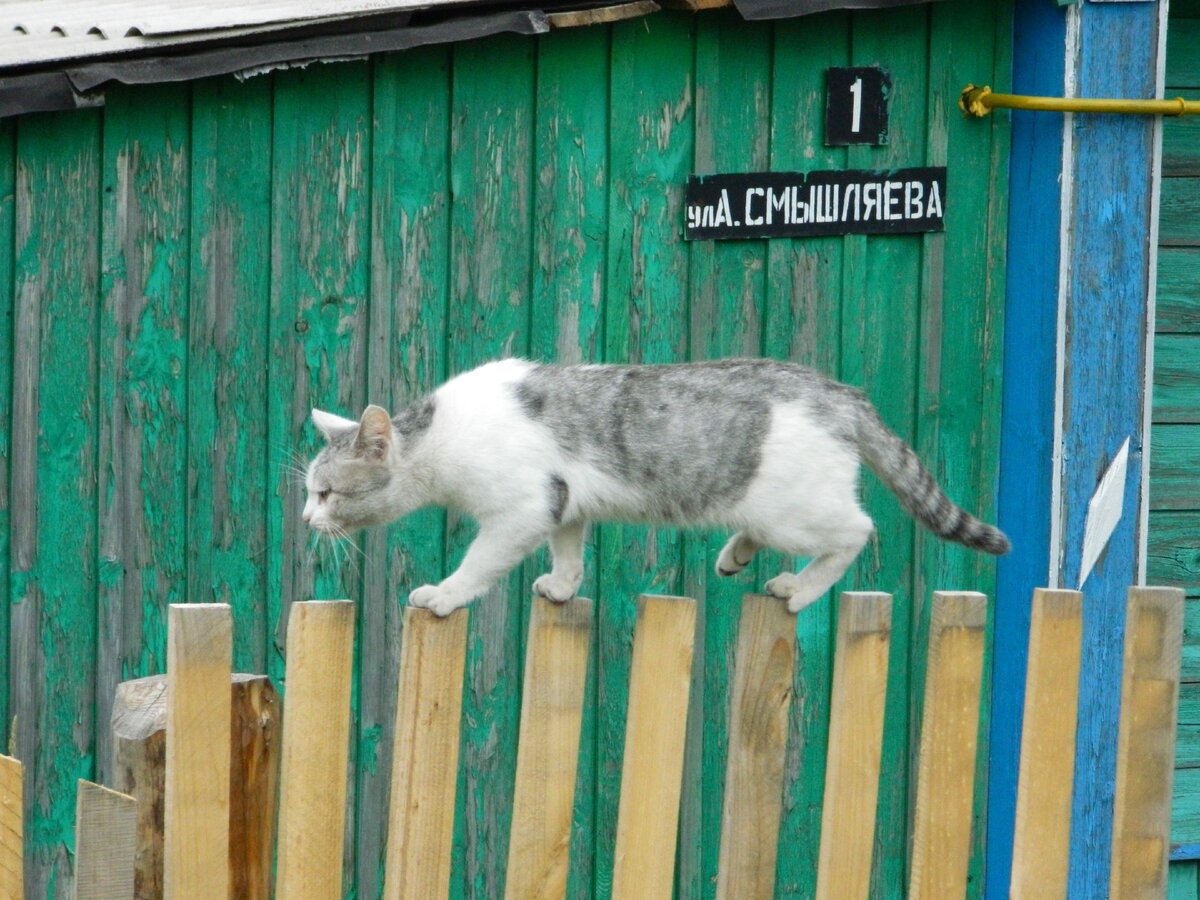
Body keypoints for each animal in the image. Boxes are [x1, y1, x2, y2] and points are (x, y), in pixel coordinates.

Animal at [304, 355, 1008, 619]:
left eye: (327, 493)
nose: (307, 521)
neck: (435, 437)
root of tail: (840, 393)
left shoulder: (519, 510)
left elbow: (477, 566)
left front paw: (444, 595)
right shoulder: (562, 505)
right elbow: (570, 551)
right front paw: (562, 587)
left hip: (793, 510)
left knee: (858, 530)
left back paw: (799, 589)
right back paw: (737, 554)